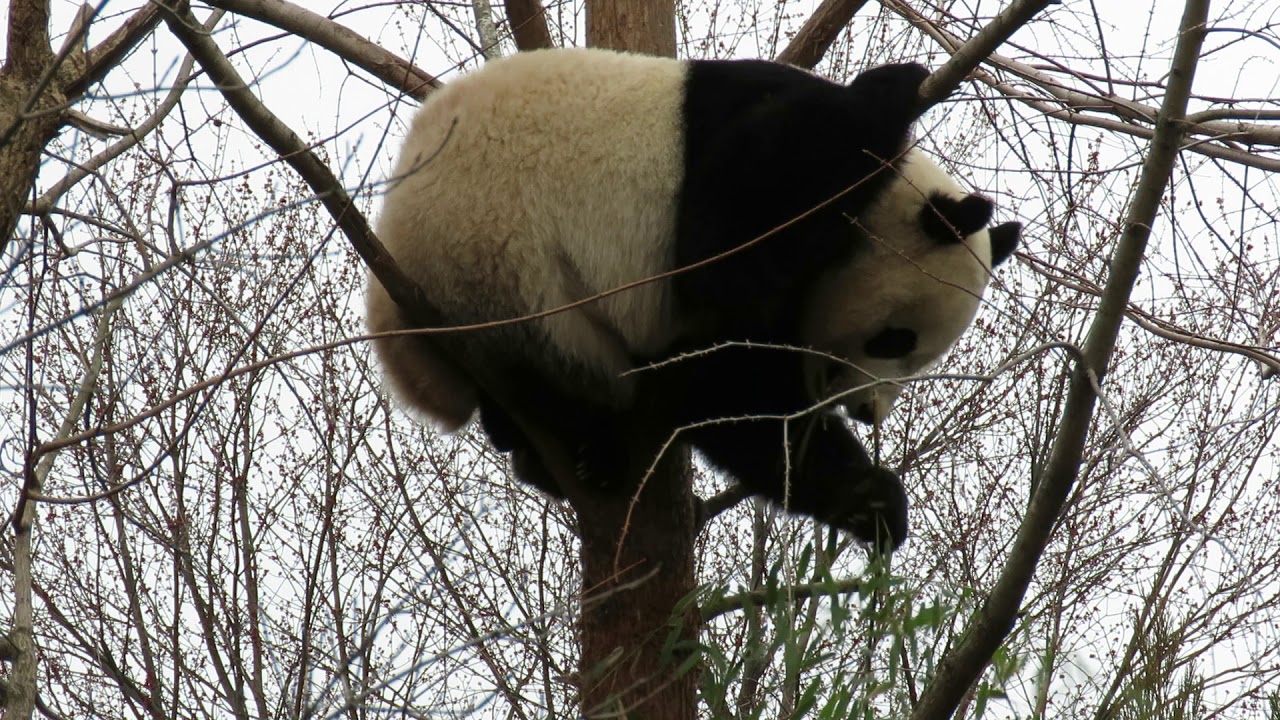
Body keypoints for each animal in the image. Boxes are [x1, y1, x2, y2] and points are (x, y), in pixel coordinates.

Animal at [367, 47, 1019, 550]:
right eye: (894, 339)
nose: (866, 411)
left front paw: (870, 506)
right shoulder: (768, 180)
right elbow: (721, 327)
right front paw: (895, 89)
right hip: (508, 265)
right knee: (559, 369)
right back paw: (589, 450)